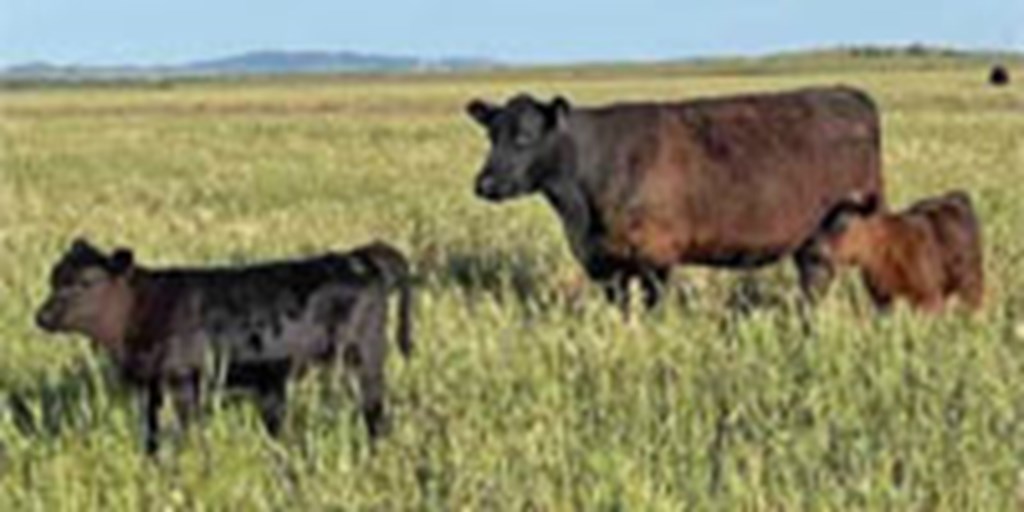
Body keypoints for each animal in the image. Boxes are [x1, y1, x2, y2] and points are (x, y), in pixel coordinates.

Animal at [35, 238, 413, 454]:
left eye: (86, 282)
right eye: (53, 277)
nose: (42, 316)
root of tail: (357, 256)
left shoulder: (184, 380)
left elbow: (188, 432)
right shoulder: (150, 386)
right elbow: (151, 434)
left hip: (365, 356)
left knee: (375, 413)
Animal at [466, 86, 884, 311]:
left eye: (525, 136)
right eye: (491, 135)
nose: (484, 184)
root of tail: (846, 93)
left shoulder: (656, 257)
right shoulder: (608, 263)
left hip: (840, 226)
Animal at [806, 190, 983, 313]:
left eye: (843, 223)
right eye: (822, 221)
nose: (815, 248)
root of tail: (955, 195)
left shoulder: (928, 297)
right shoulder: (881, 299)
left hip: (972, 281)